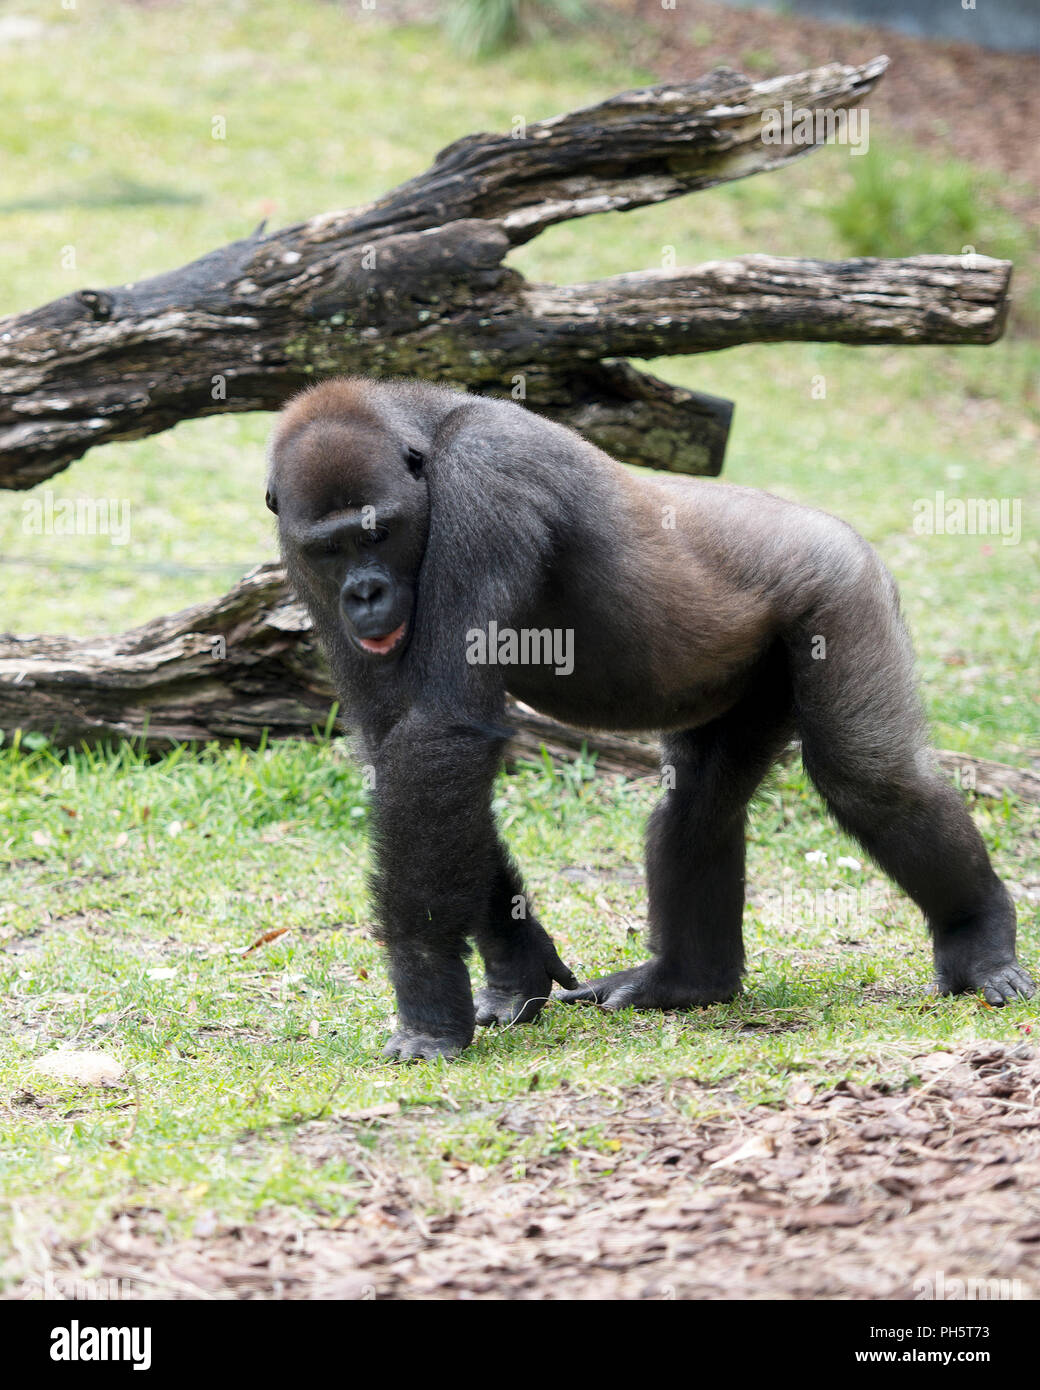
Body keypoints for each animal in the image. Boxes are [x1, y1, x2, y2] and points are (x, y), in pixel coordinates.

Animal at [266, 376, 1034, 1060]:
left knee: (872, 781)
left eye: (379, 534)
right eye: (330, 549)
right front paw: (516, 961)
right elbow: (408, 751)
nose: (365, 594)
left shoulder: (488, 476)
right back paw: (689, 983)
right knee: (699, 802)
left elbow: (442, 732)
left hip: (844, 585)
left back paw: (980, 941)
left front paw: (427, 1000)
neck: (427, 426)